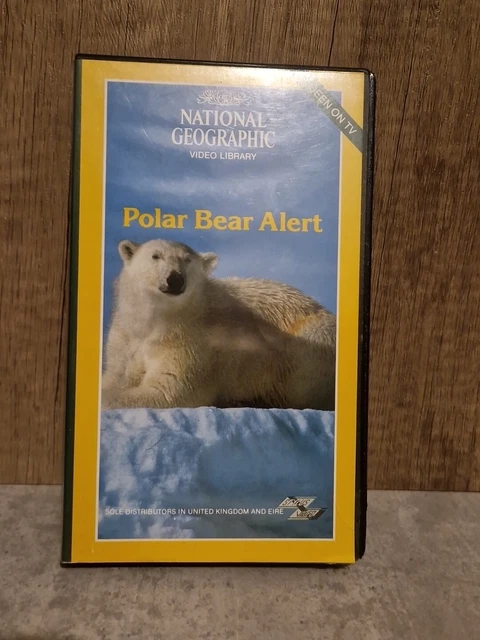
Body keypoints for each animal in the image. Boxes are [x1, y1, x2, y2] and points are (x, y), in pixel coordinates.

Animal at [101, 238, 336, 411]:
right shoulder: (126, 337)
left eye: (187, 260)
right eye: (155, 256)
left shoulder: (191, 342)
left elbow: (170, 390)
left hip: (311, 341)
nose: (175, 279)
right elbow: (119, 373)